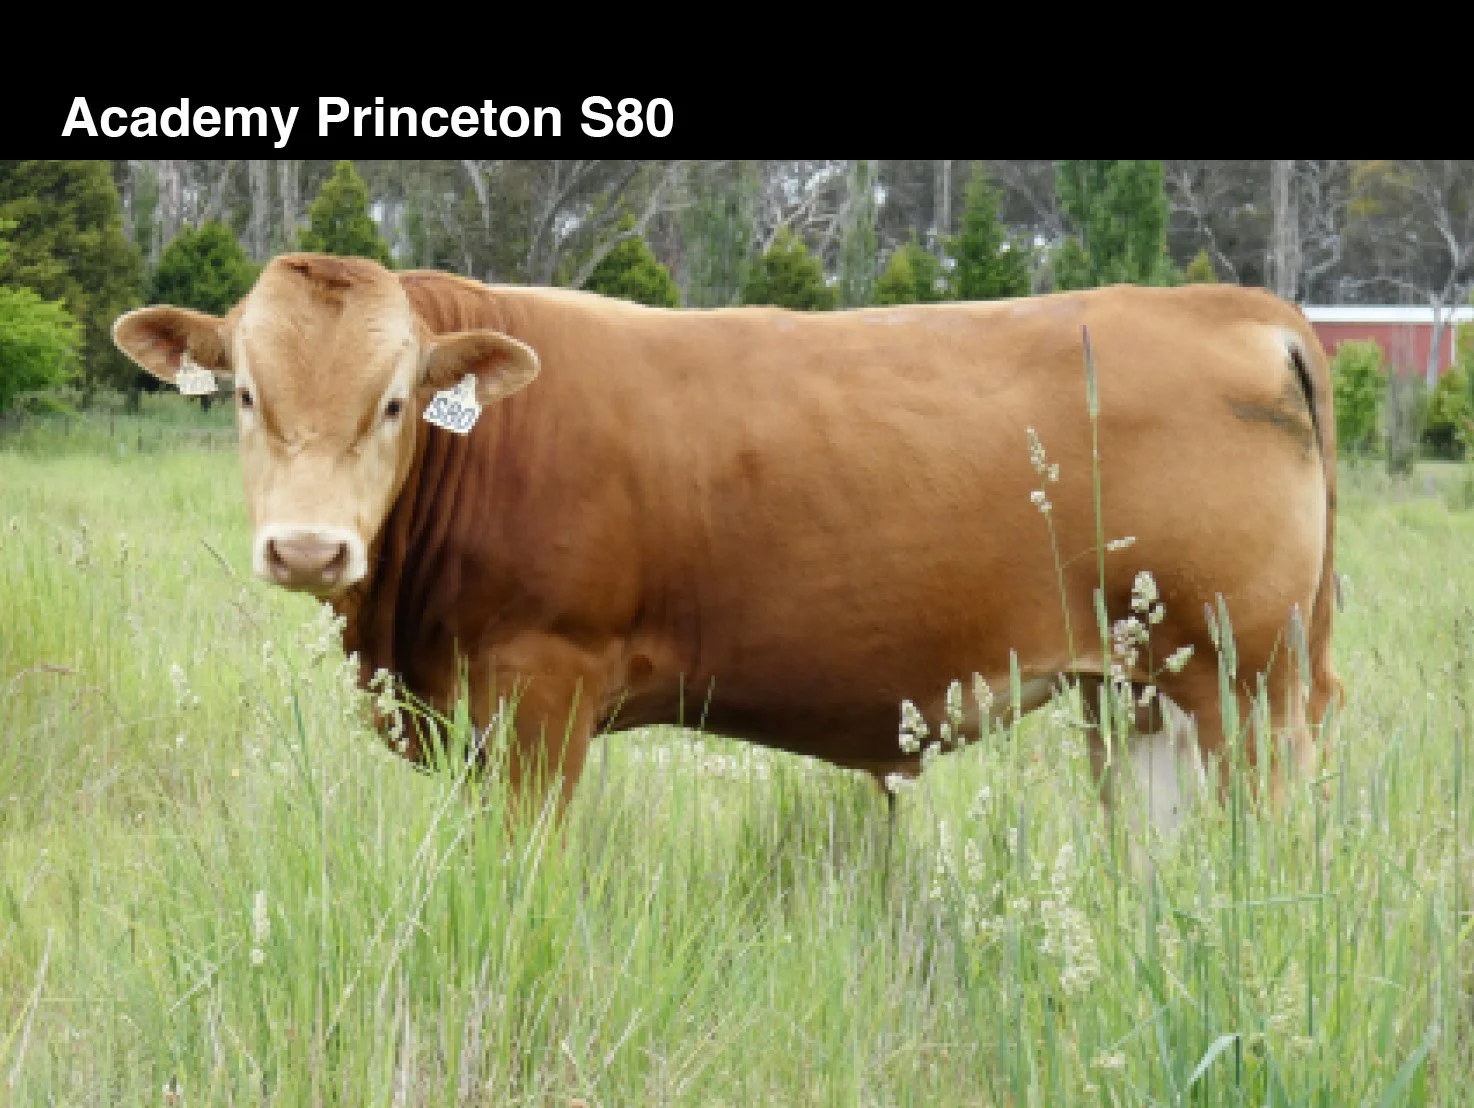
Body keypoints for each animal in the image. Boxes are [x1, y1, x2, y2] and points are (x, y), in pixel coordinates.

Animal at [112, 252, 1343, 838]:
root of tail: (1235, 307)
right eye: (245, 395)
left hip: (1245, 682)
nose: (309, 549)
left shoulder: (539, 694)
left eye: (394, 402)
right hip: (1138, 691)